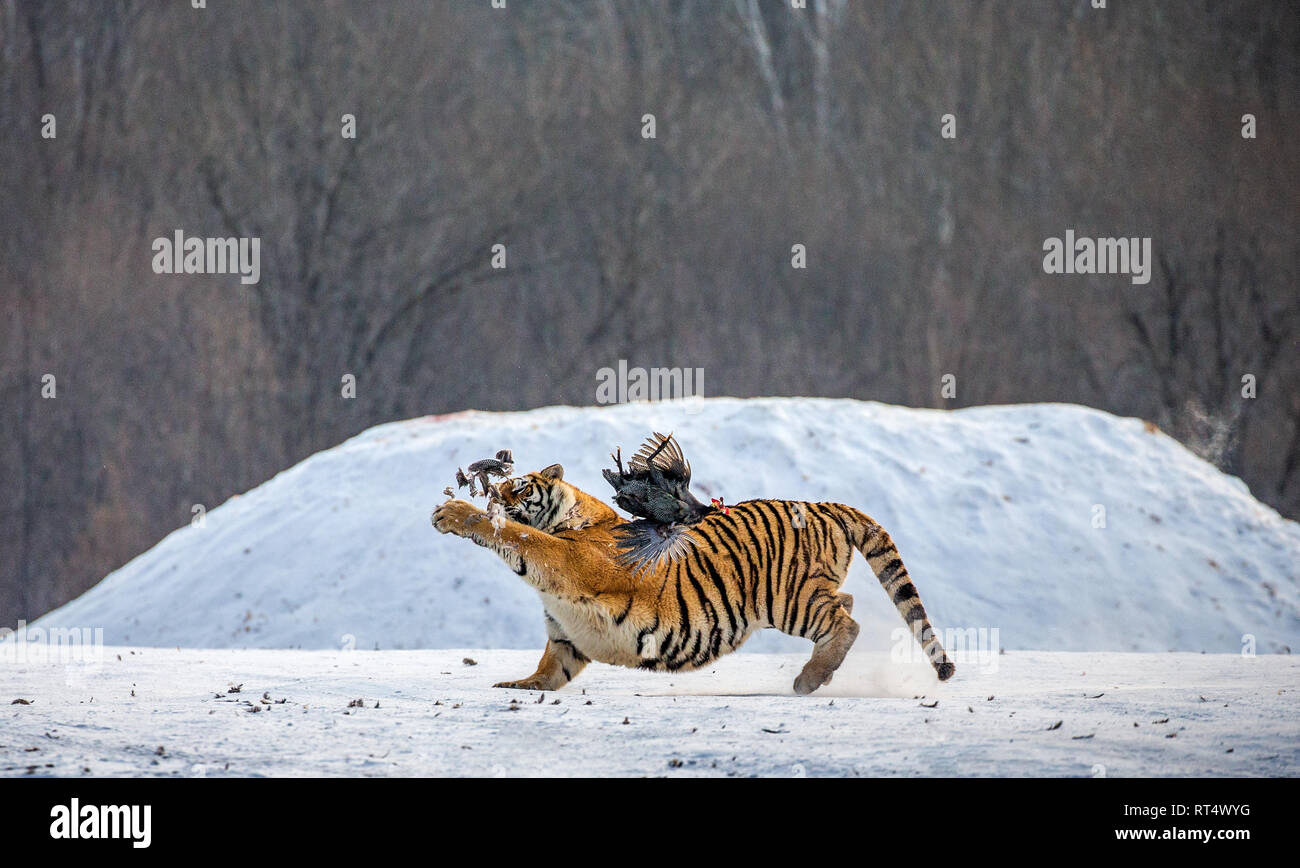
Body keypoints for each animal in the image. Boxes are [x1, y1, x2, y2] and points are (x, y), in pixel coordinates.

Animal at [431, 462, 955, 694]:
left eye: (517, 488)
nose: (493, 491)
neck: (572, 518)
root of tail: (825, 504)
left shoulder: (568, 562)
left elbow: (518, 536)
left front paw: (456, 513)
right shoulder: (567, 633)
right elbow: (550, 667)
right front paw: (521, 687)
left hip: (788, 599)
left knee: (846, 622)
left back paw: (809, 679)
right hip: (807, 592)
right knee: (845, 604)